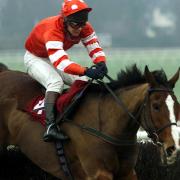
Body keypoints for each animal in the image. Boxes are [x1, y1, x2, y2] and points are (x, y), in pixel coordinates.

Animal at [0, 64, 179, 179]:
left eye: (177, 104)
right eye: (156, 106)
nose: (172, 148)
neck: (109, 126)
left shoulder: (127, 172)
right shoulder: (98, 174)